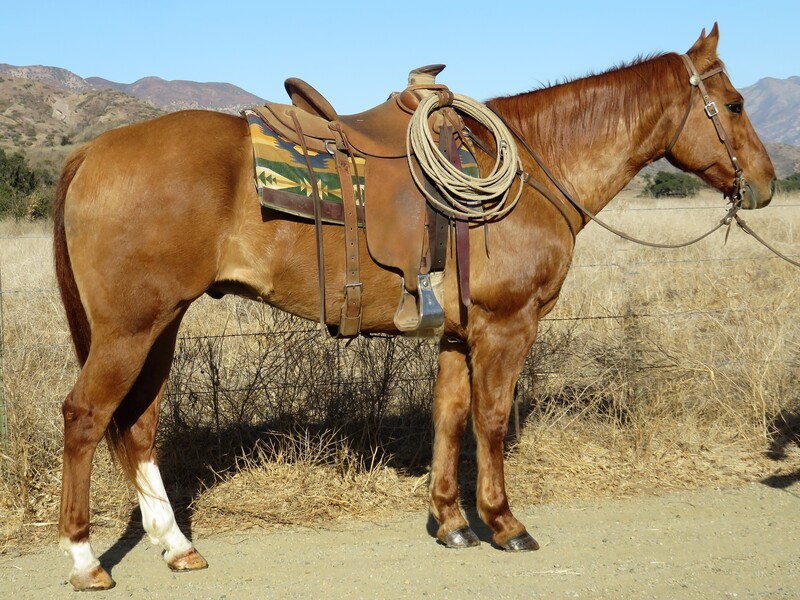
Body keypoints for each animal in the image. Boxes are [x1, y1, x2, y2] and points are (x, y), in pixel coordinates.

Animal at [53, 24, 775, 590]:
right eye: (735, 104)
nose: (766, 183)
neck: (535, 167)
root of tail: (92, 149)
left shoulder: (458, 333)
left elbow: (449, 419)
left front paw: (452, 522)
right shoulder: (507, 327)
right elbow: (490, 421)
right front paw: (504, 522)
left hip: (160, 325)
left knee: (138, 426)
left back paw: (177, 546)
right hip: (128, 330)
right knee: (86, 418)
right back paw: (86, 559)